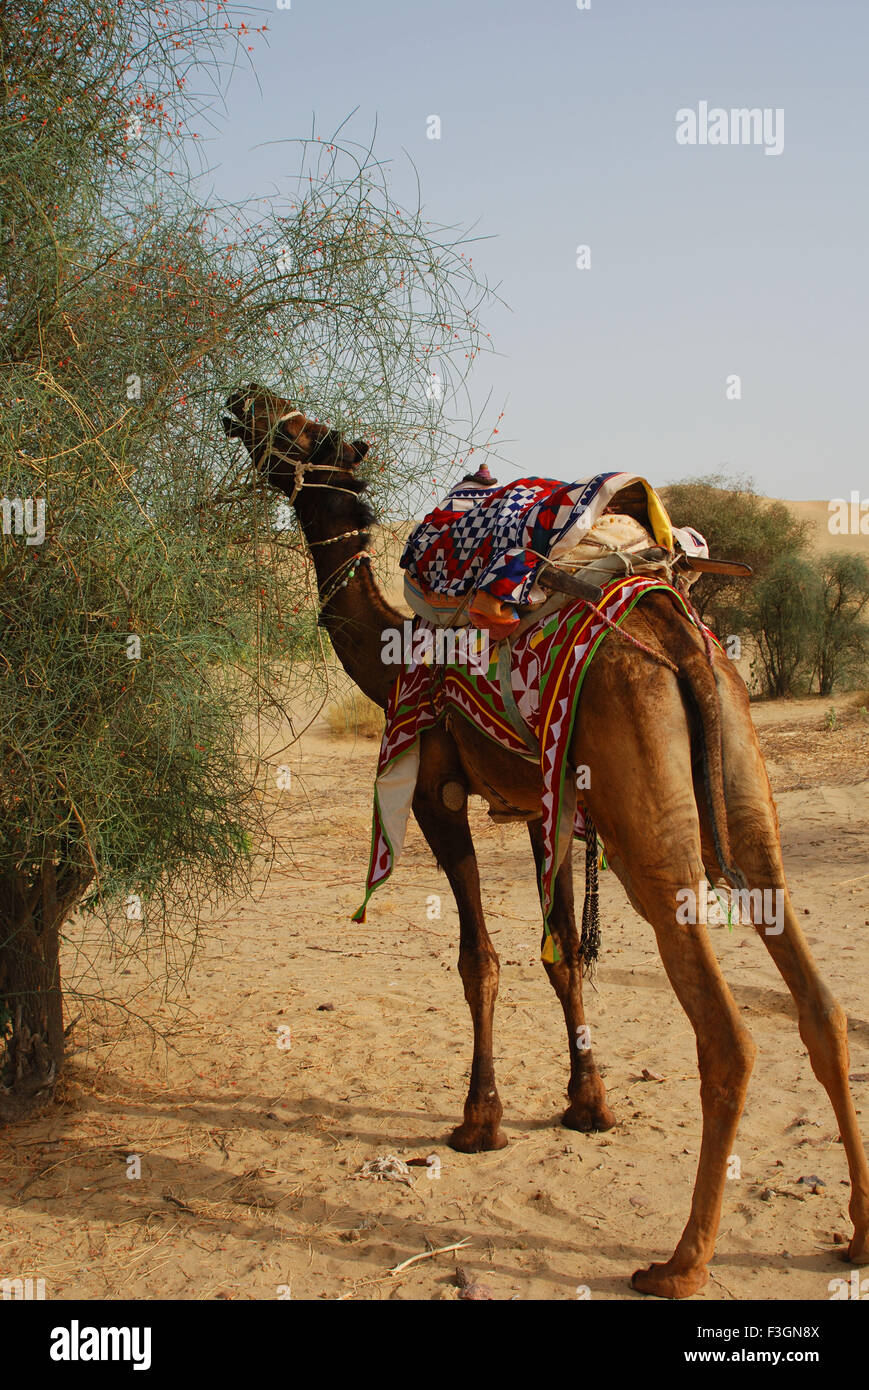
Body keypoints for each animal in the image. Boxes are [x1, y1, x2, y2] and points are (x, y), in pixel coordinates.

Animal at [222, 383, 869, 1299]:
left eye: (300, 432)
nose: (243, 398)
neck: (393, 656)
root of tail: (680, 643)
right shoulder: (546, 805)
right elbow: (561, 951)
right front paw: (586, 1105)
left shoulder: (435, 789)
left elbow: (480, 960)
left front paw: (478, 1121)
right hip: (744, 796)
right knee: (819, 1003)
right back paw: (856, 1232)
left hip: (648, 835)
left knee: (726, 1034)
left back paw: (680, 1262)